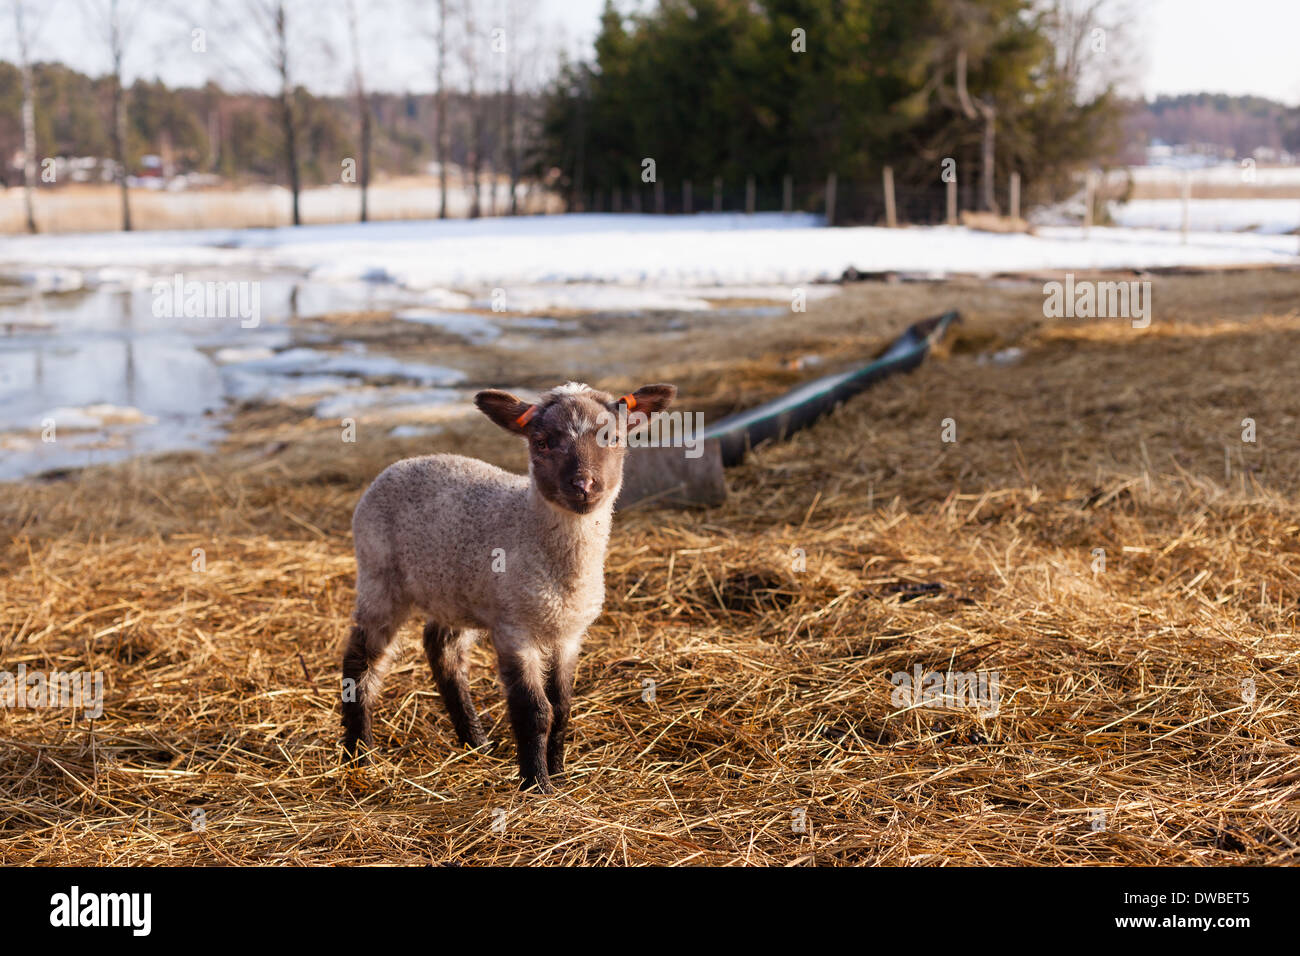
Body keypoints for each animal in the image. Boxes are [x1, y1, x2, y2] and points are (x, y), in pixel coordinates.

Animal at [342, 380, 677, 792]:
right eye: (542, 442)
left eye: (612, 437)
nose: (583, 485)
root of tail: (398, 465)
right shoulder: (515, 630)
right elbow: (534, 711)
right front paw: (537, 785)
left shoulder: (568, 636)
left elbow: (562, 706)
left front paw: (559, 773)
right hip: (380, 577)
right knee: (360, 661)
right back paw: (359, 755)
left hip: (456, 592)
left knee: (442, 650)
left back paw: (475, 742)